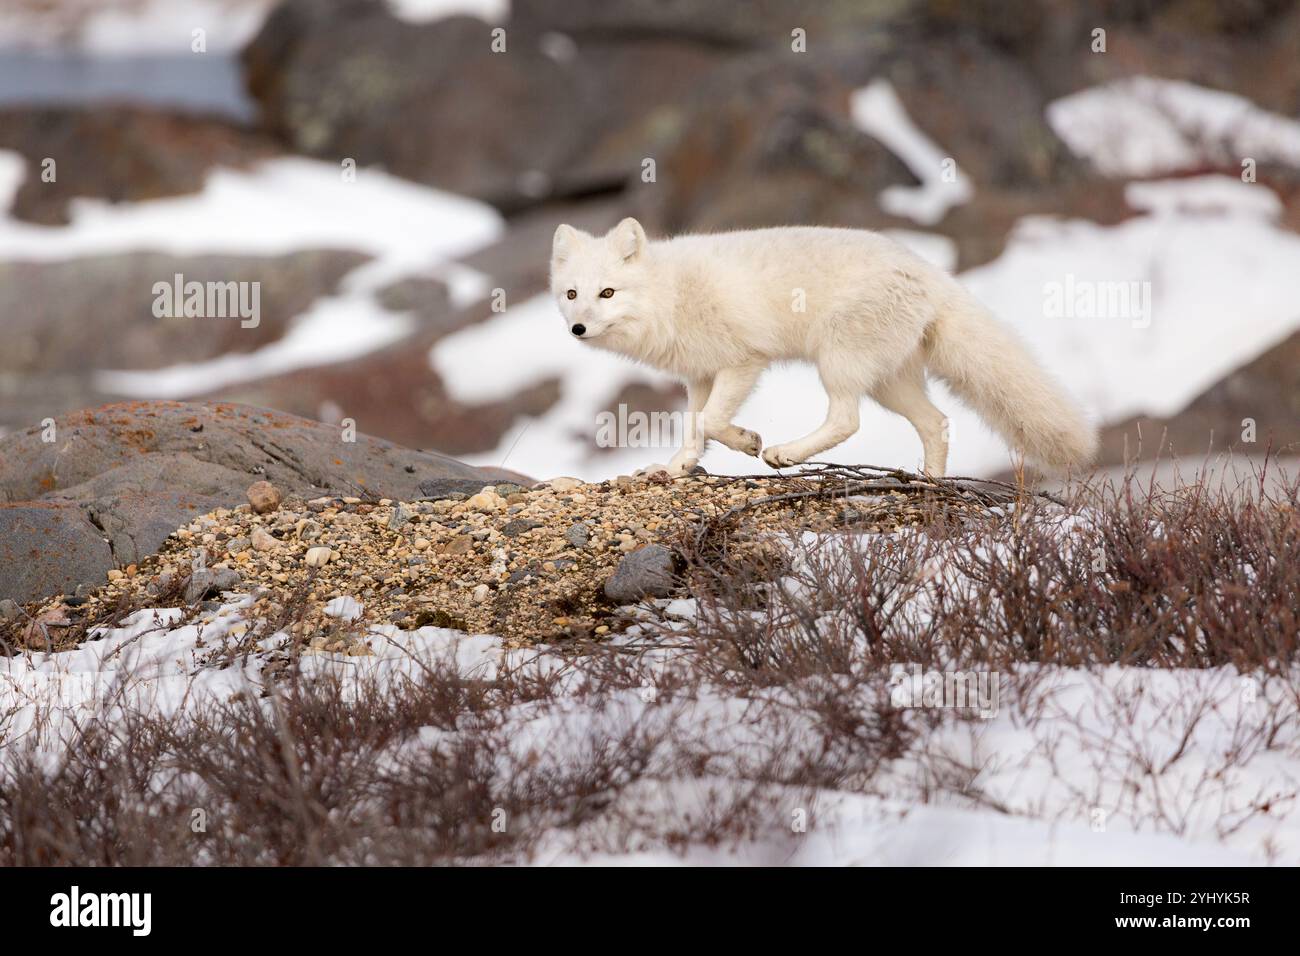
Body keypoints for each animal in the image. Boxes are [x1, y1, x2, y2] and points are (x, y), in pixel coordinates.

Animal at [550, 217, 1097, 478]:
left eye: (608, 293)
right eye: (572, 294)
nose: (576, 329)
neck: (669, 294)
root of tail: (930, 273)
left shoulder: (744, 361)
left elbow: (710, 421)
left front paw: (748, 442)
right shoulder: (700, 376)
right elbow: (694, 426)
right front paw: (676, 467)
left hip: (839, 360)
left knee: (846, 420)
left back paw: (785, 454)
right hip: (889, 382)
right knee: (936, 423)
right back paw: (930, 483)